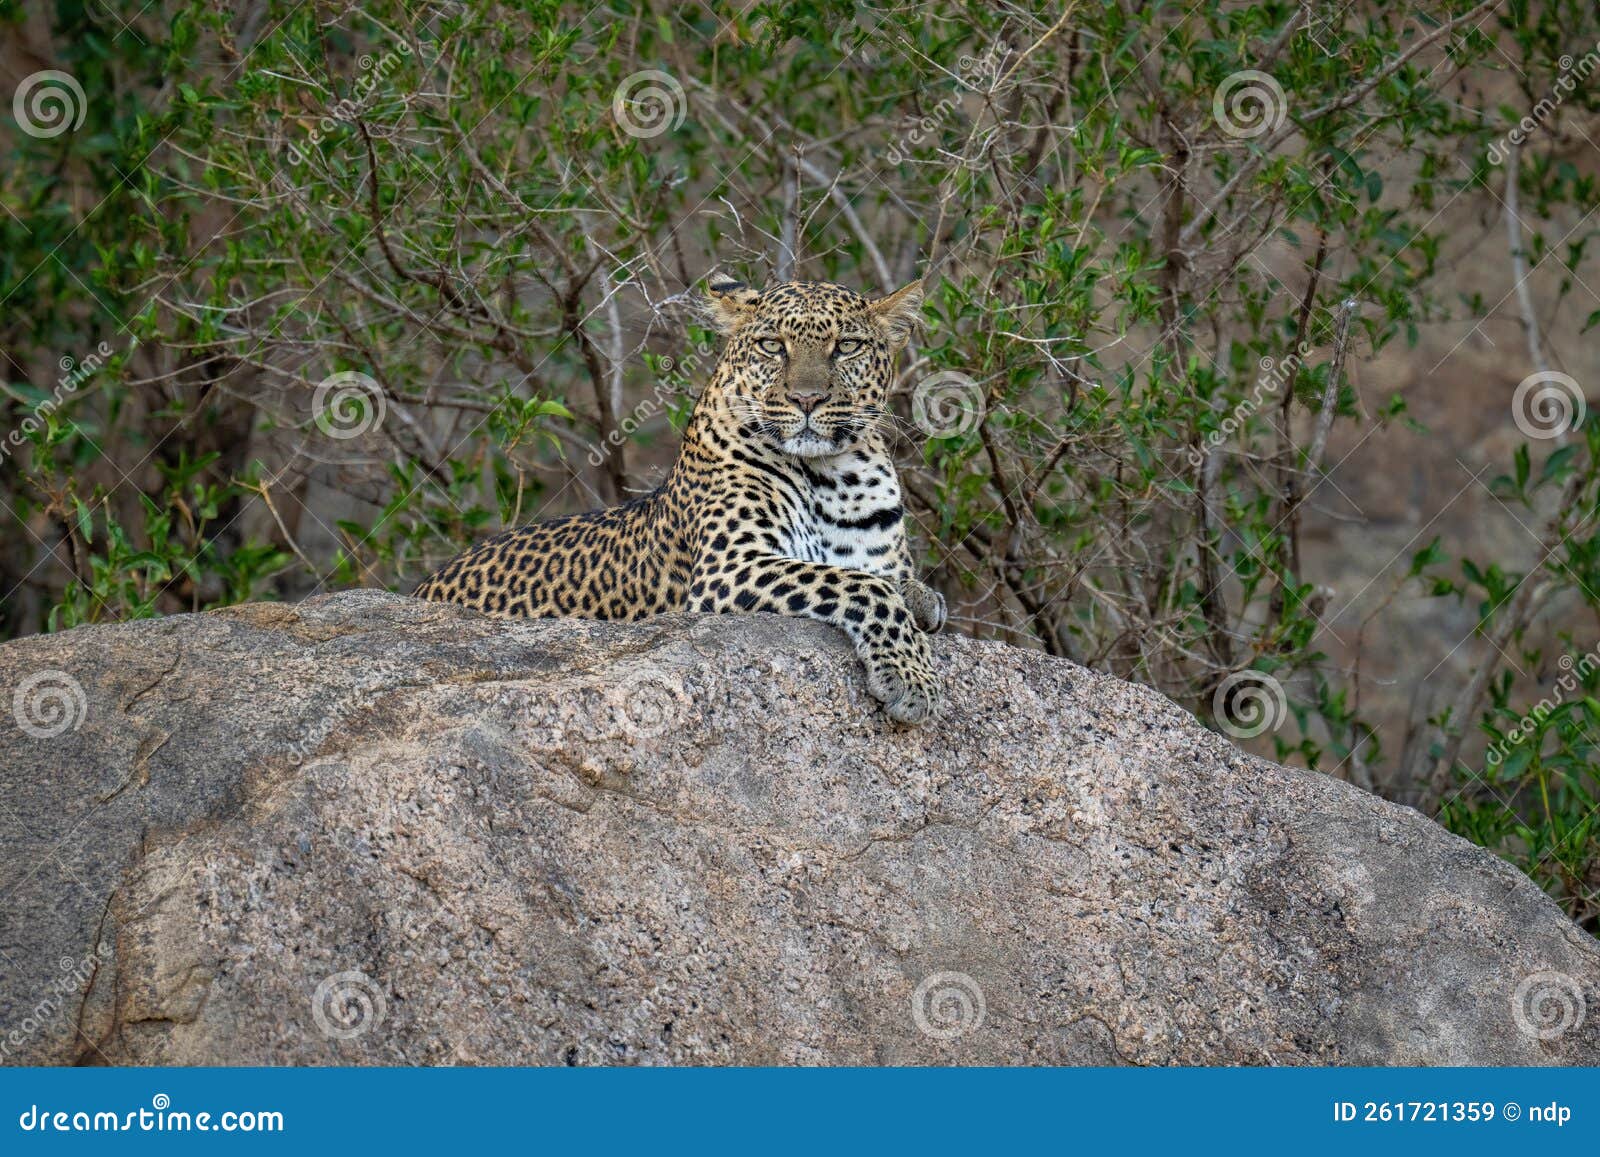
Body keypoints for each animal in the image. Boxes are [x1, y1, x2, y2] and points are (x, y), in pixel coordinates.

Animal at [412, 275, 946, 724]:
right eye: (773, 346)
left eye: (847, 347)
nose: (807, 399)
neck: (833, 477)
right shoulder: (728, 569)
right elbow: (862, 587)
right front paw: (912, 679)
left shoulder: (873, 554)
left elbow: (887, 579)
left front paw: (925, 604)